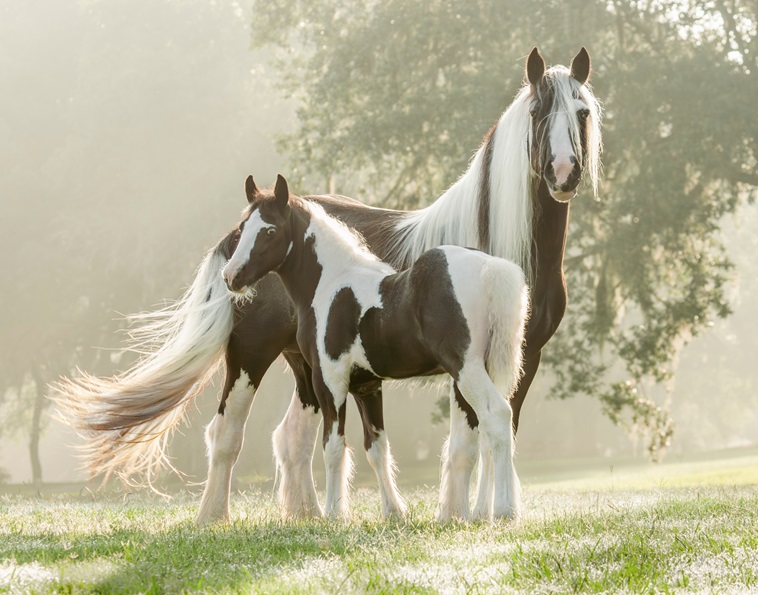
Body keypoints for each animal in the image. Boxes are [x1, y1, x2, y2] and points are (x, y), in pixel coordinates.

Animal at [223, 174, 529, 519]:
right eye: (242, 226)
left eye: (270, 230)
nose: (231, 277)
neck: (331, 284)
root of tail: (490, 267)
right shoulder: (366, 386)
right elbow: (377, 448)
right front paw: (394, 512)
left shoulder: (330, 382)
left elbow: (333, 447)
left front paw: (334, 514)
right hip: (489, 369)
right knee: (491, 431)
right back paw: (481, 513)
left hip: (467, 369)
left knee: (497, 416)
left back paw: (504, 510)